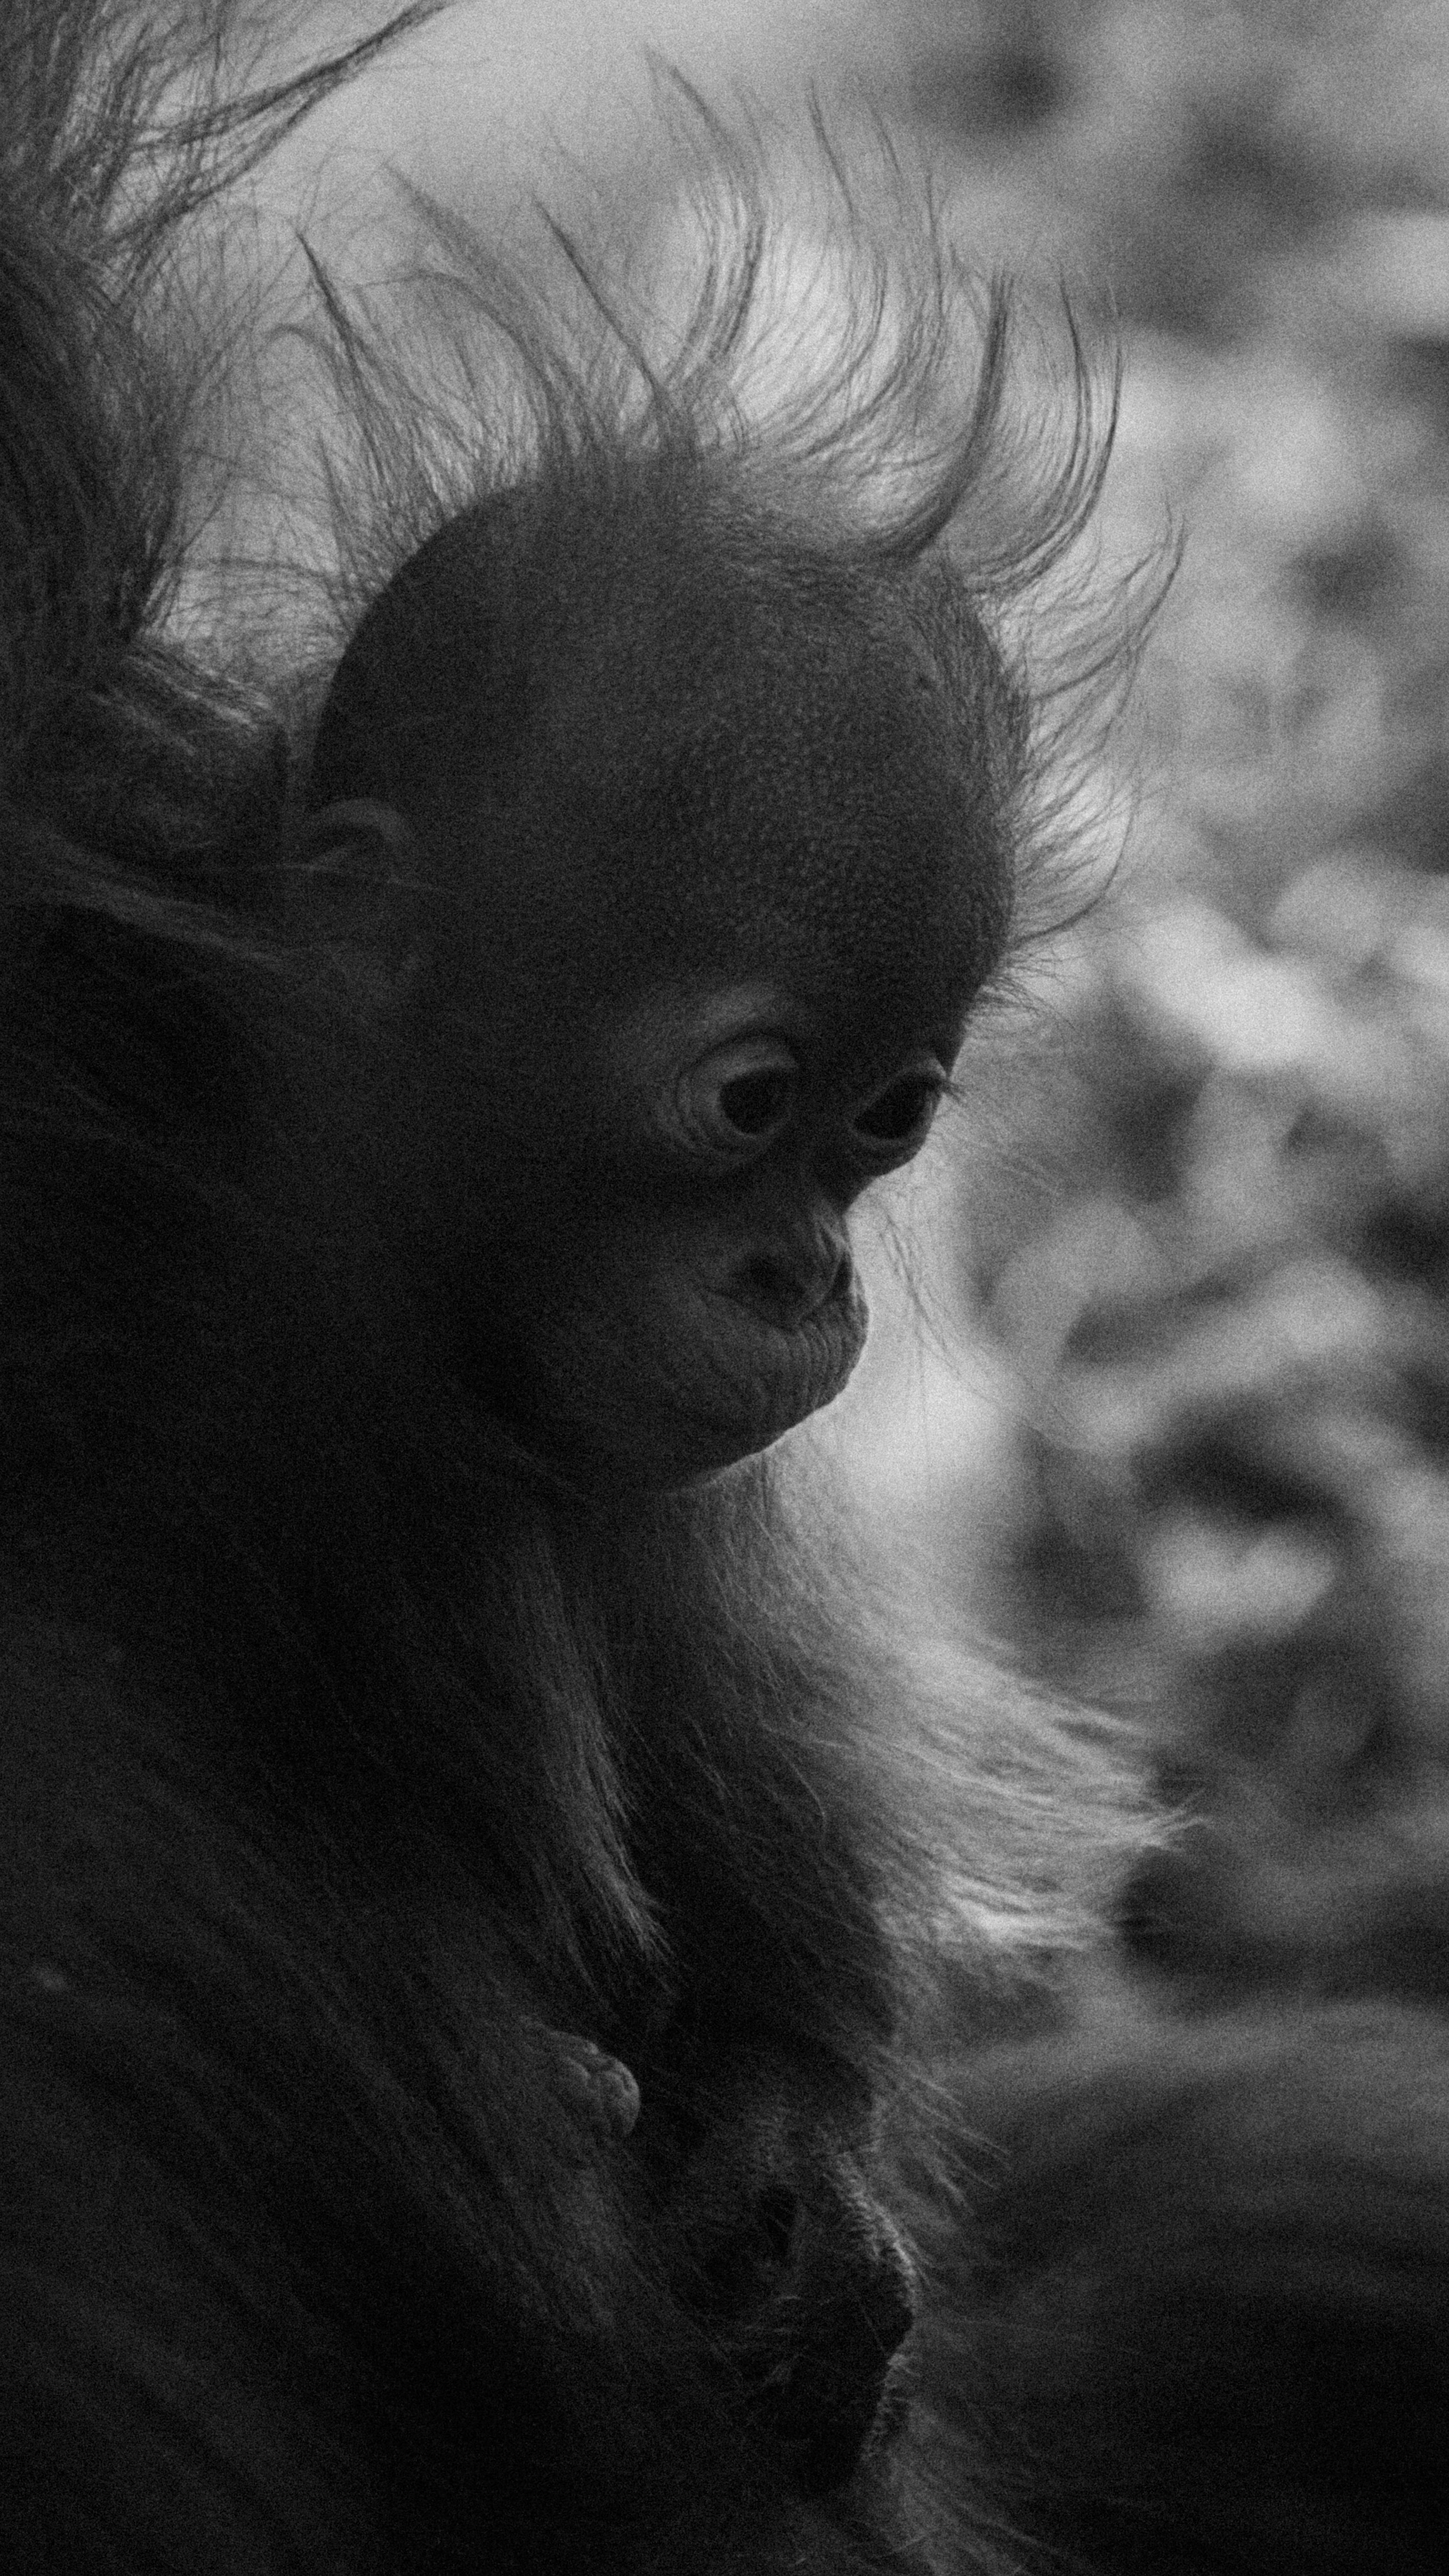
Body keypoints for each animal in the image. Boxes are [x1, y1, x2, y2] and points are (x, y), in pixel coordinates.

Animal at [0, 5, 1152, 2569]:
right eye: (747, 1100)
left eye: (889, 1121)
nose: (799, 1277)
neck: (343, 1236)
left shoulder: (628, 1481)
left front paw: (795, 2177)